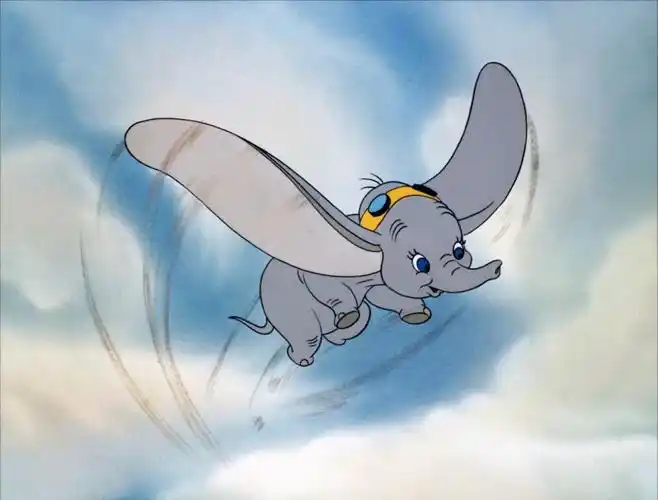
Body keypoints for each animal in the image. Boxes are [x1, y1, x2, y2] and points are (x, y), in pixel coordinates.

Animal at [122, 61, 528, 367]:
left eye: (460, 249)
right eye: (420, 263)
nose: (497, 268)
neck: (377, 227)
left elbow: (388, 297)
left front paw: (417, 315)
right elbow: (334, 288)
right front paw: (354, 312)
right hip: (287, 306)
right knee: (307, 334)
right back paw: (308, 354)